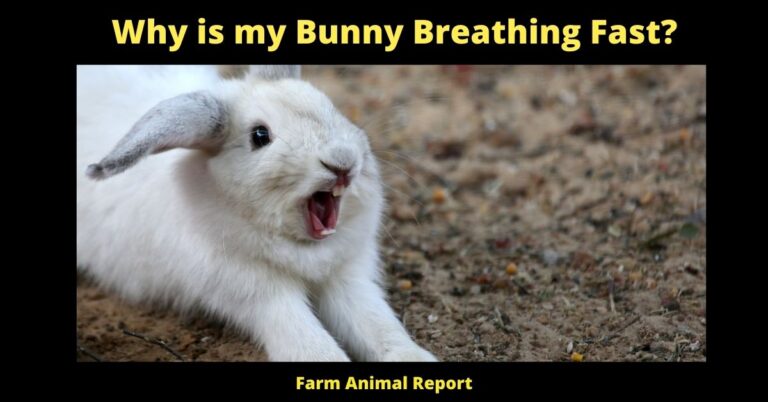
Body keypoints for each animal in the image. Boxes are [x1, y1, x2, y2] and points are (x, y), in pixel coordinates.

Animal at [77, 65, 438, 362]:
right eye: (260, 136)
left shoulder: (348, 279)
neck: (305, 249)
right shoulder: (261, 294)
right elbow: (308, 342)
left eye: (330, 106)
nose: (343, 162)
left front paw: (415, 358)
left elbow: (377, 325)